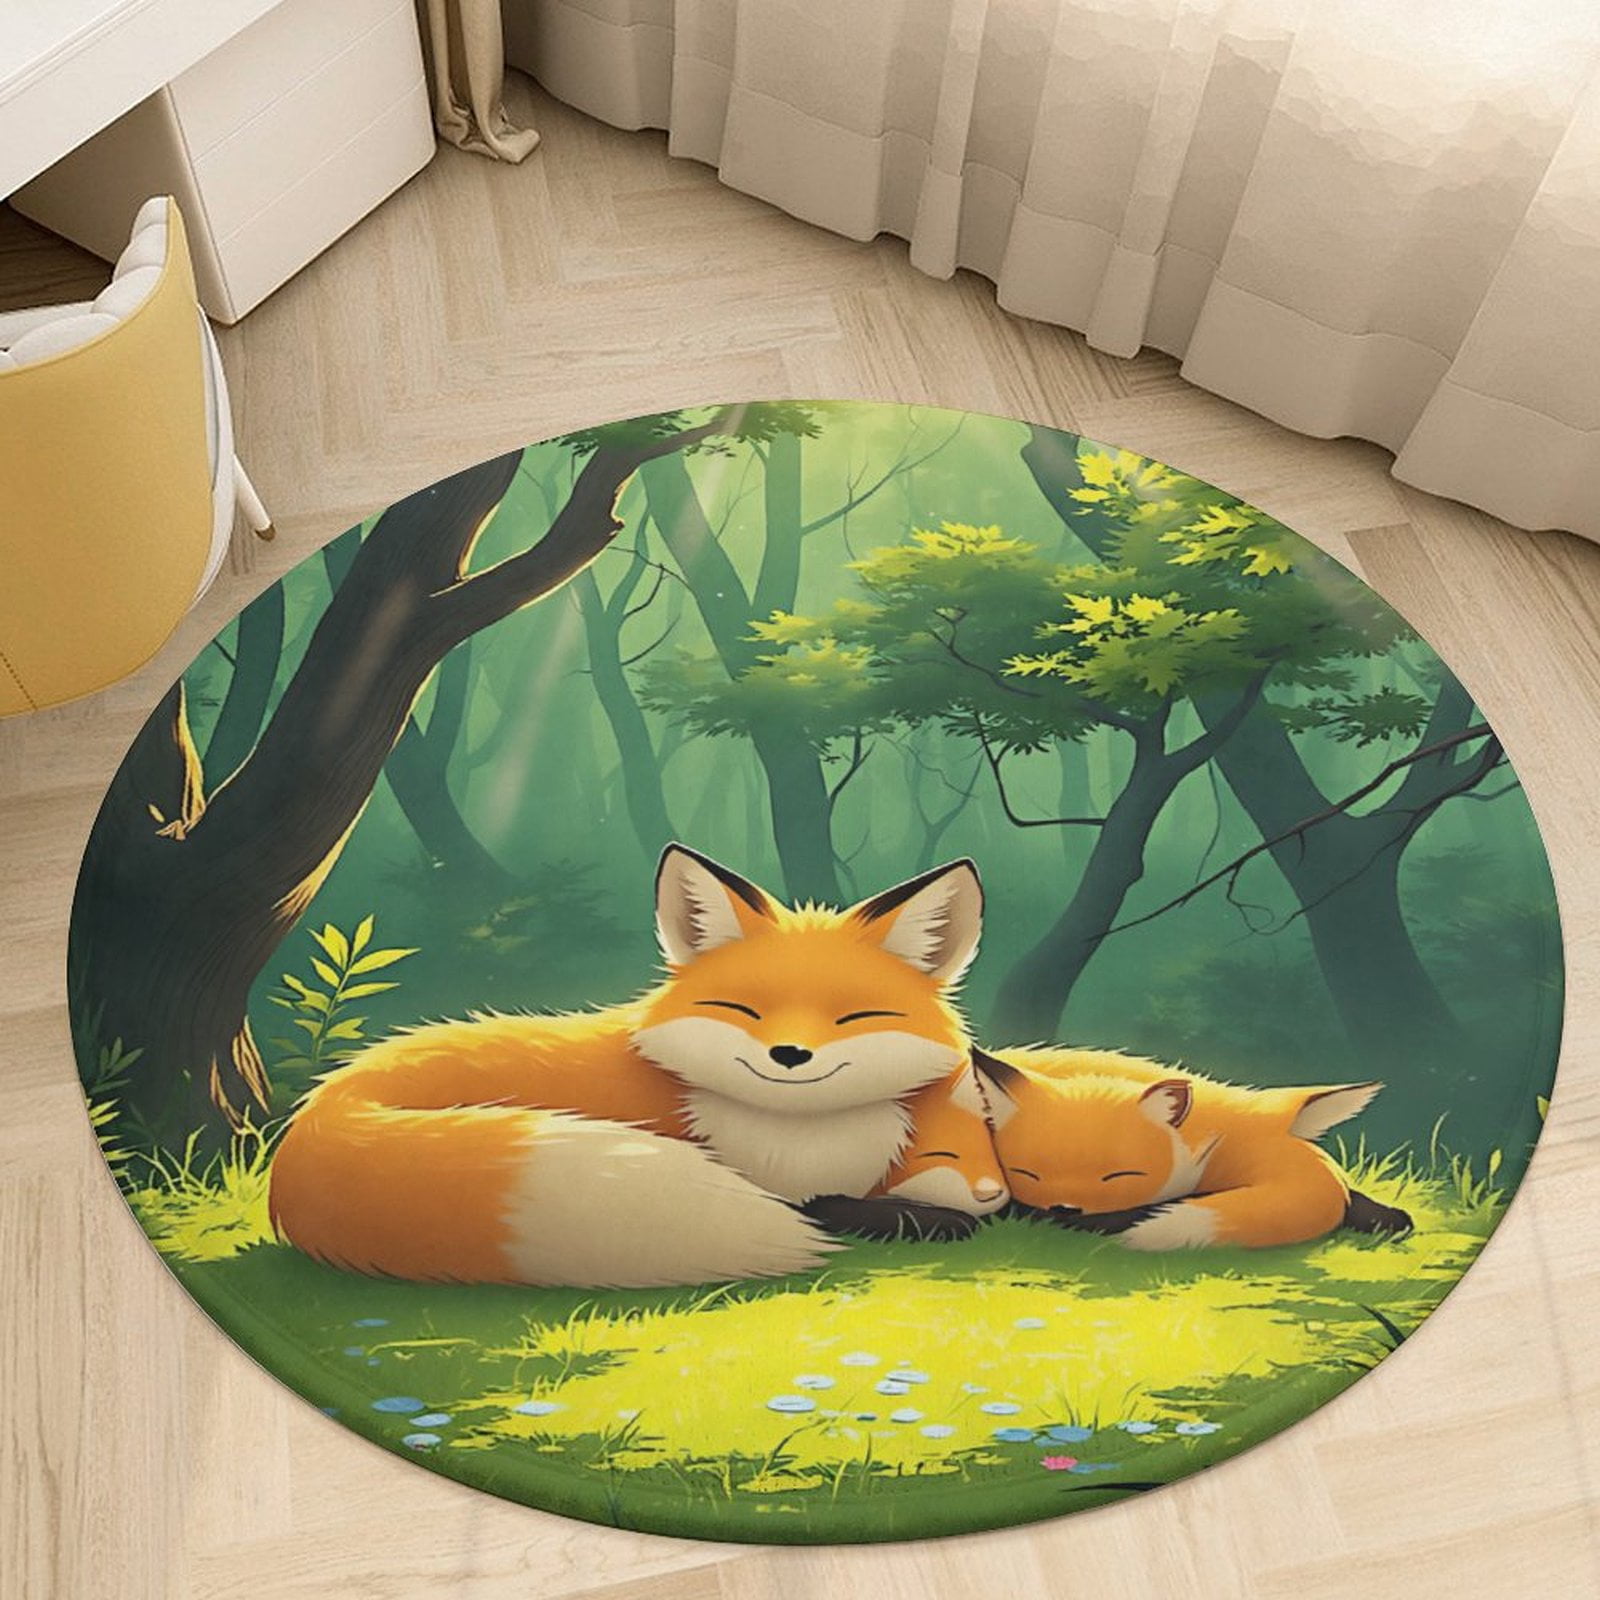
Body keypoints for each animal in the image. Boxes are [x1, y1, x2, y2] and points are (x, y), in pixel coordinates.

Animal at [267, 845, 1009, 1289]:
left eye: (856, 1017)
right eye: (742, 1009)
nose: (790, 1056)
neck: (797, 1140)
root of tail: (325, 1102)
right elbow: (846, 1207)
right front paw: (921, 1215)